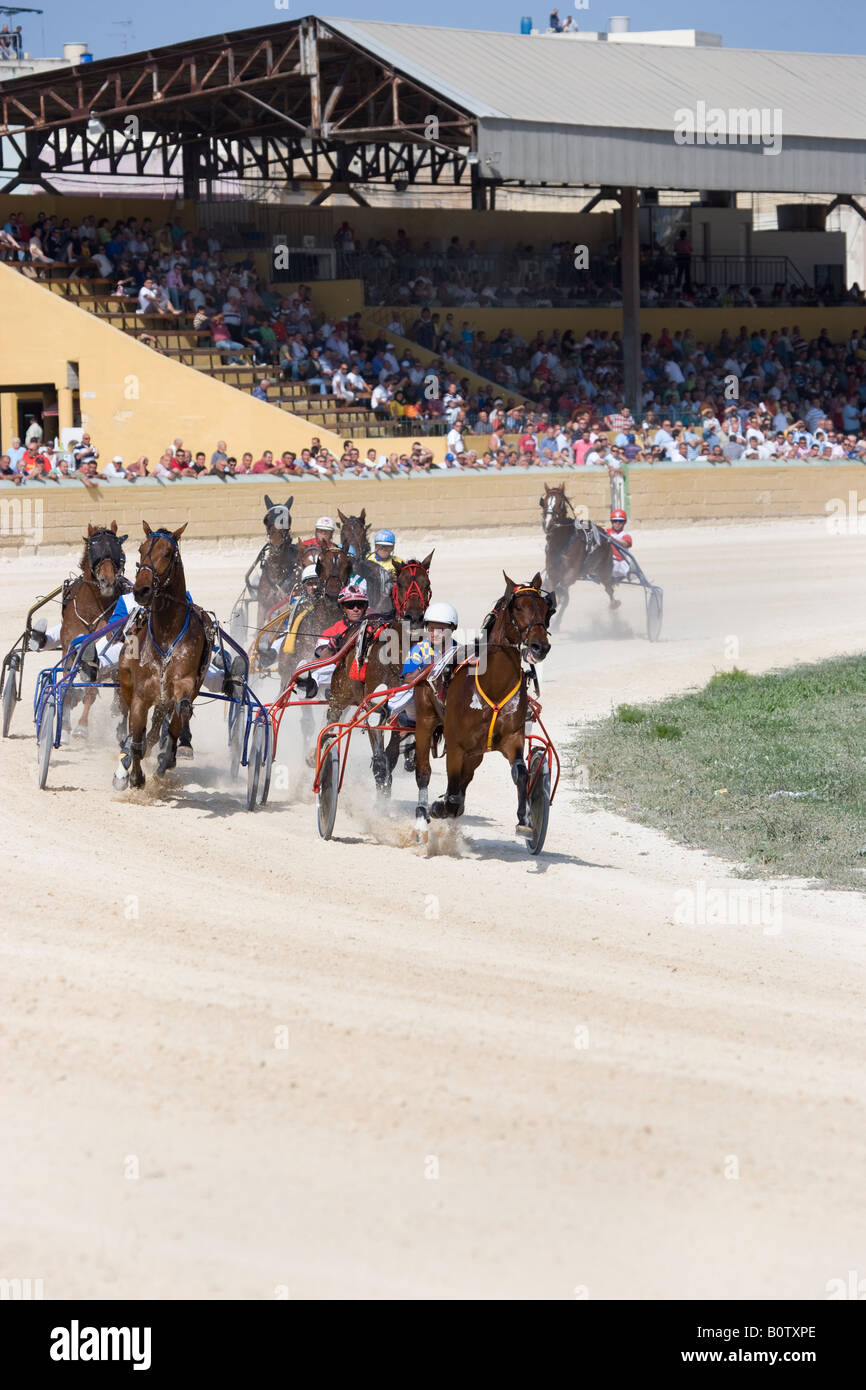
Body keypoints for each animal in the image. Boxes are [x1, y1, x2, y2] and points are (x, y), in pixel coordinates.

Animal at [59, 521, 129, 735]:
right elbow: (67, 682)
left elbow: (91, 689)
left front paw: (82, 726)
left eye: (117, 548)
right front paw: (64, 726)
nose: (107, 580)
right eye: (94, 547)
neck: (91, 608)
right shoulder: (68, 647)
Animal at [113, 522, 213, 790]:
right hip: (126, 679)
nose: (141, 590)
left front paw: (167, 758)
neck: (167, 633)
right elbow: (136, 740)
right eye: (141, 549)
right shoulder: (140, 694)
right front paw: (135, 776)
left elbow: (180, 713)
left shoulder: (183, 684)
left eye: (168, 553)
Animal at [325, 553, 434, 794]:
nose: (414, 617)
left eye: (426, 584)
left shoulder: (403, 715)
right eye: (400, 583)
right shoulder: (374, 710)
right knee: (331, 719)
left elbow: (390, 757)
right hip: (340, 693)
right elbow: (380, 761)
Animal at [423, 573, 553, 831]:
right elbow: (452, 794)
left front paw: (525, 819)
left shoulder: (512, 737)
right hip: (425, 722)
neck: (494, 684)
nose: (540, 646)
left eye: (545, 609)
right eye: (518, 607)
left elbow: (521, 773)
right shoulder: (457, 744)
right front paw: (441, 806)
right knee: (424, 770)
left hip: (476, 753)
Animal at [539, 483, 619, 624]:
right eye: (544, 501)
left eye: (560, 503)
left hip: (605, 568)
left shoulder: (571, 573)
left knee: (609, 588)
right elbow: (553, 590)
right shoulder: (553, 573)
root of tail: (604, 533)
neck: (561, 542)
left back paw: (614, 605)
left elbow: (562, 591)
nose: (548, 524)